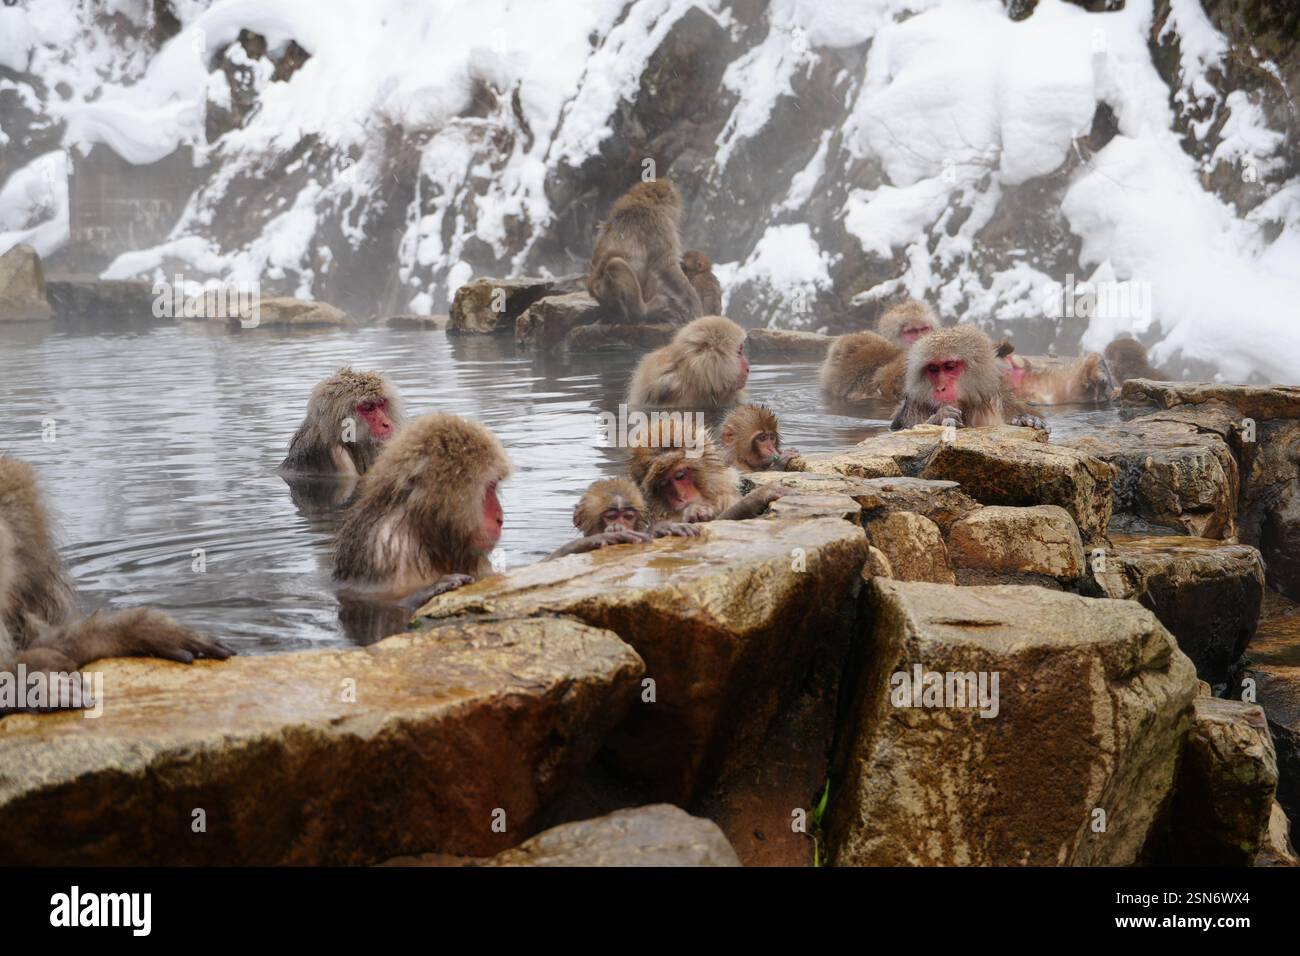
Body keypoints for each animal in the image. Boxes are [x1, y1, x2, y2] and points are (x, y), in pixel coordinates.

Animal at [588, 180, 704, 325]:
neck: (645, 200)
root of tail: (593, 289)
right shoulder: (660, 223)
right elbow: (666, 264)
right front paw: (695, 304)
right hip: (607, 290)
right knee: (616, 263)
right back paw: (646, 311)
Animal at [889, 324, 1048, 433]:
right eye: (933, 369)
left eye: (950, 366)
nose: (941, 388)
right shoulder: (914, 405)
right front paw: (941, 417)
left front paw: (1024, 419)